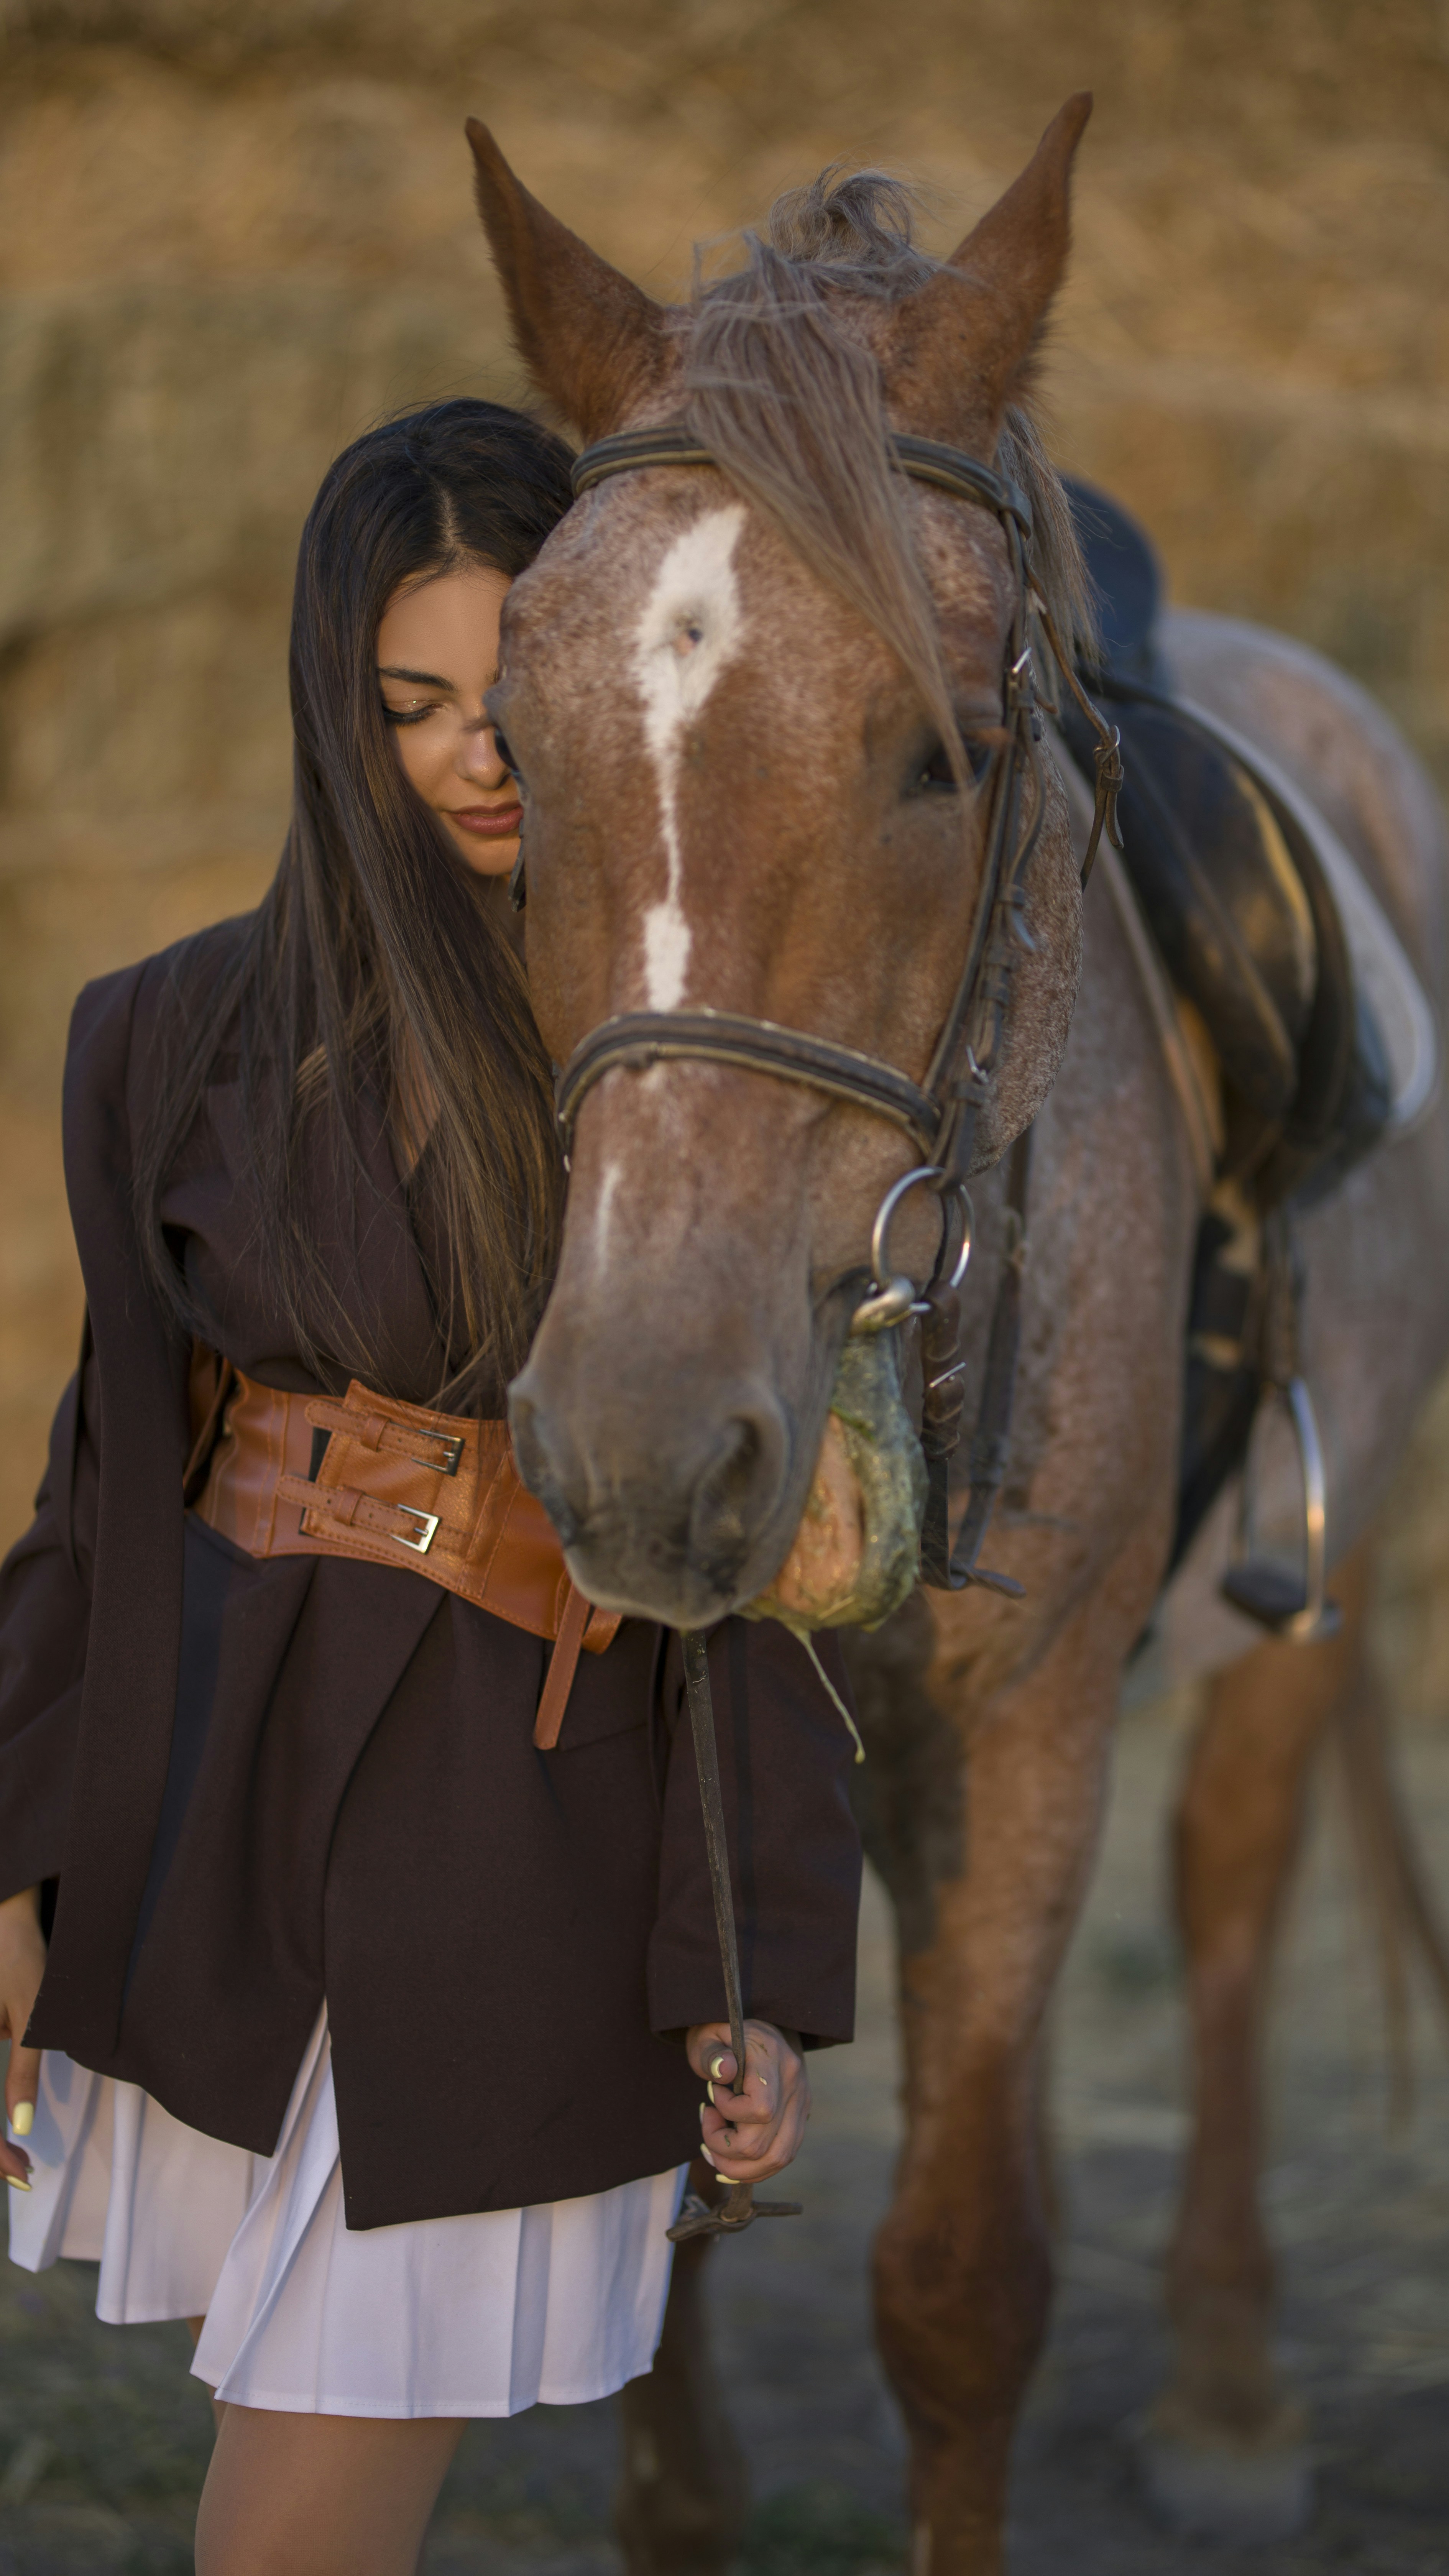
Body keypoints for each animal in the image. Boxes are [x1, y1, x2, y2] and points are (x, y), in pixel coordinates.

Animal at [464, 98, 1449, 2574]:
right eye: (507, 739)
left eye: (940, 750)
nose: (638, 1446)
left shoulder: (1023, 1735)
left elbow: (961, 2288)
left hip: (1286, 1598)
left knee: (1227, 1904)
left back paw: (1226, 2392)